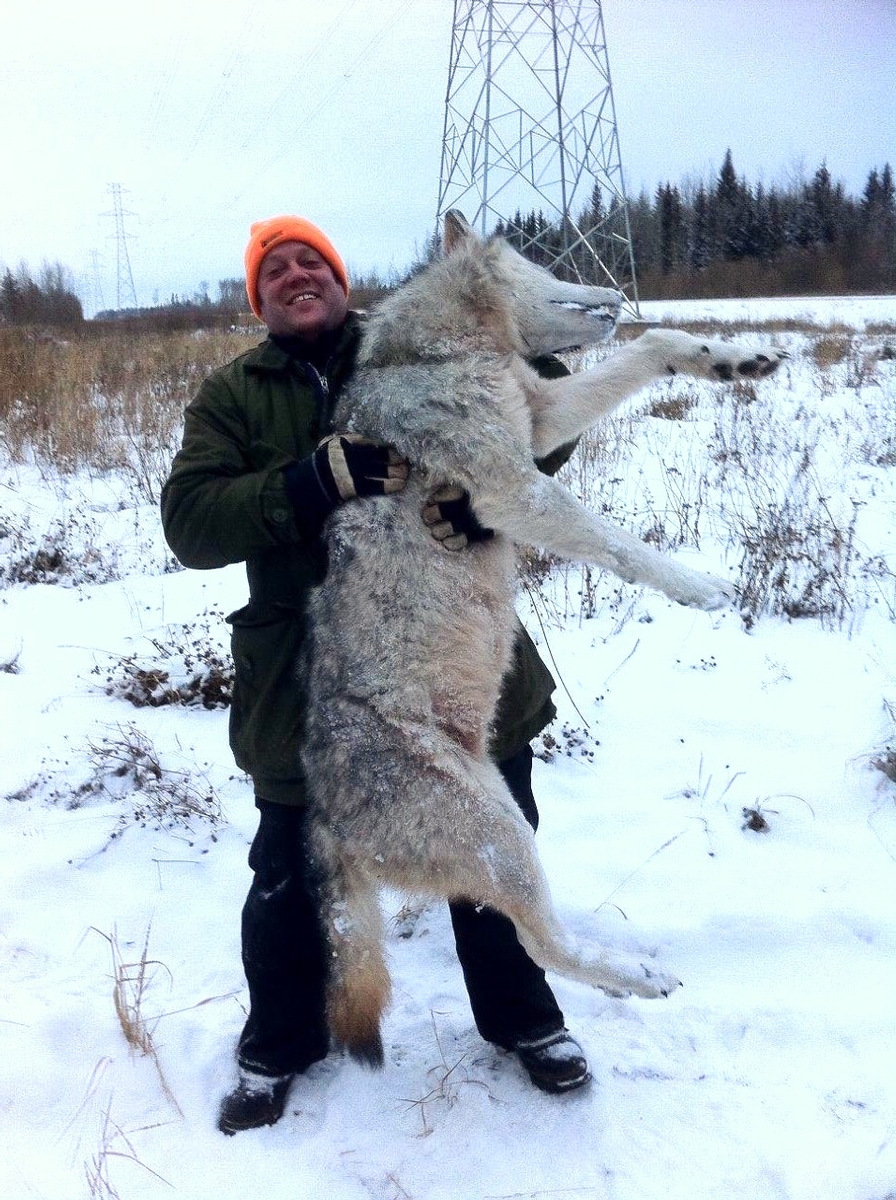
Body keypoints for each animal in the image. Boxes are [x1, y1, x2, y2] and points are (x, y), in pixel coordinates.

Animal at [299, 211, 786, 1065]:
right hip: (503, 836)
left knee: (529, 942)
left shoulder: (542, 423)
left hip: (503, 822)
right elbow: (618, 544)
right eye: (539, 260)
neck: (441, 352)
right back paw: (644, 978)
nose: (616, 292)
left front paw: (730, 359)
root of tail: (325, 819)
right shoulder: (511, 490)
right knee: (542, 945)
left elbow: (652, 349)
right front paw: (699, 586)